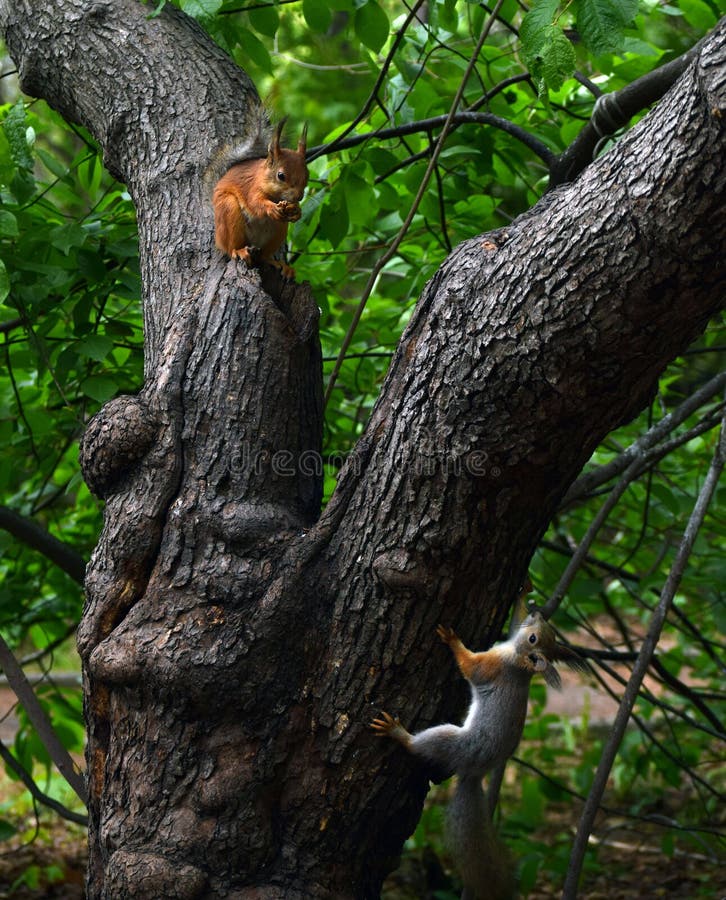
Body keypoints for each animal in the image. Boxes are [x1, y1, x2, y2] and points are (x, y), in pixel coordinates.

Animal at [211, 117, 308, 280]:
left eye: (307, 175)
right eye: (281, 175)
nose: (299, 196)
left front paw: (297, 212)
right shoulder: (252, 188)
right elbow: (255, 203)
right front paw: (271, 209)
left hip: (279, 230)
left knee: (264, 256)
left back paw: (281, 265)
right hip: (228, 210)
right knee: (231, 248)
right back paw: (239, 251)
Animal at [371, 585, 587, 900]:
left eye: (534, 639)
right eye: (543, 634)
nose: (537, 614)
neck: (516, 660)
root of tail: (477, 771)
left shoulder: (491, 666)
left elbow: (470, 667)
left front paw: (452, 639)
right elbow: (513, 622)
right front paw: (523, 593)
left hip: (454, 741)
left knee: (424, 746)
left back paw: (399, 733)